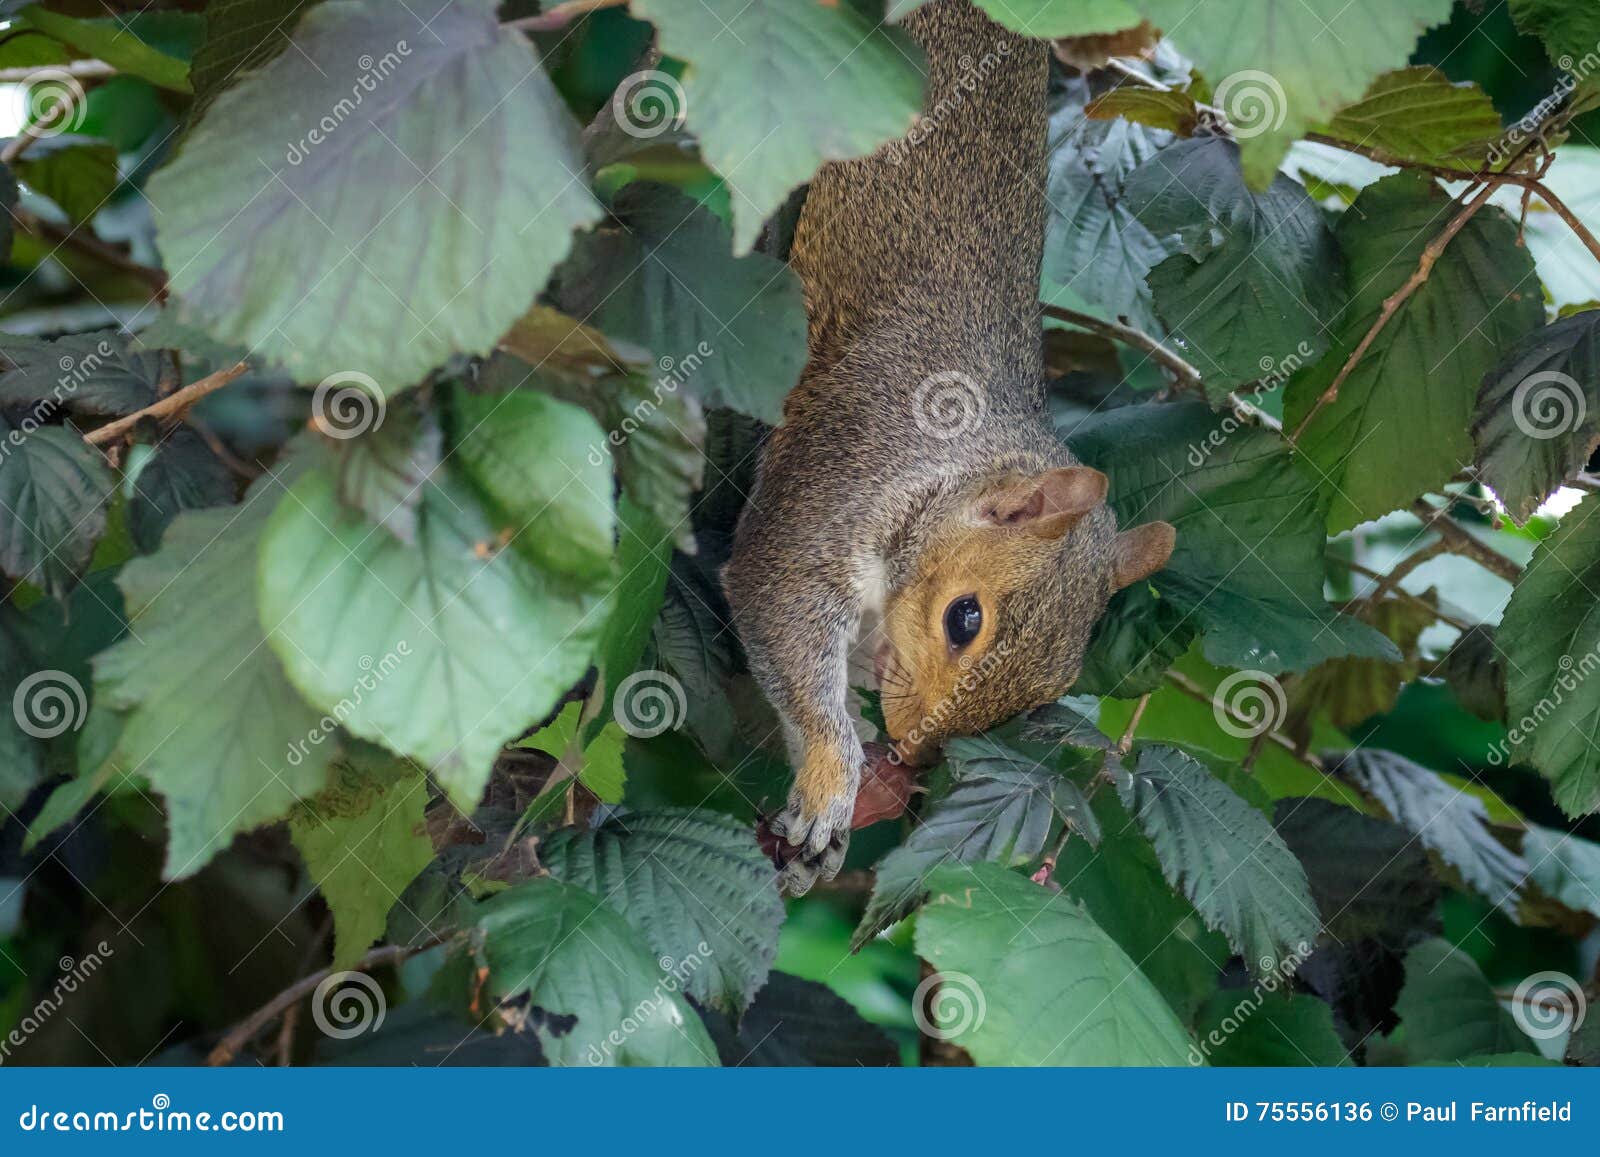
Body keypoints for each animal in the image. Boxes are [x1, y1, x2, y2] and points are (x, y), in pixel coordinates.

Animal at [722, 0, 1175, 895]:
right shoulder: (832, 490)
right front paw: (830, 776)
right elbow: (781, 615)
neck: (943, 473)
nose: (913, 750)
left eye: (1048, 693)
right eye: (964, 617)